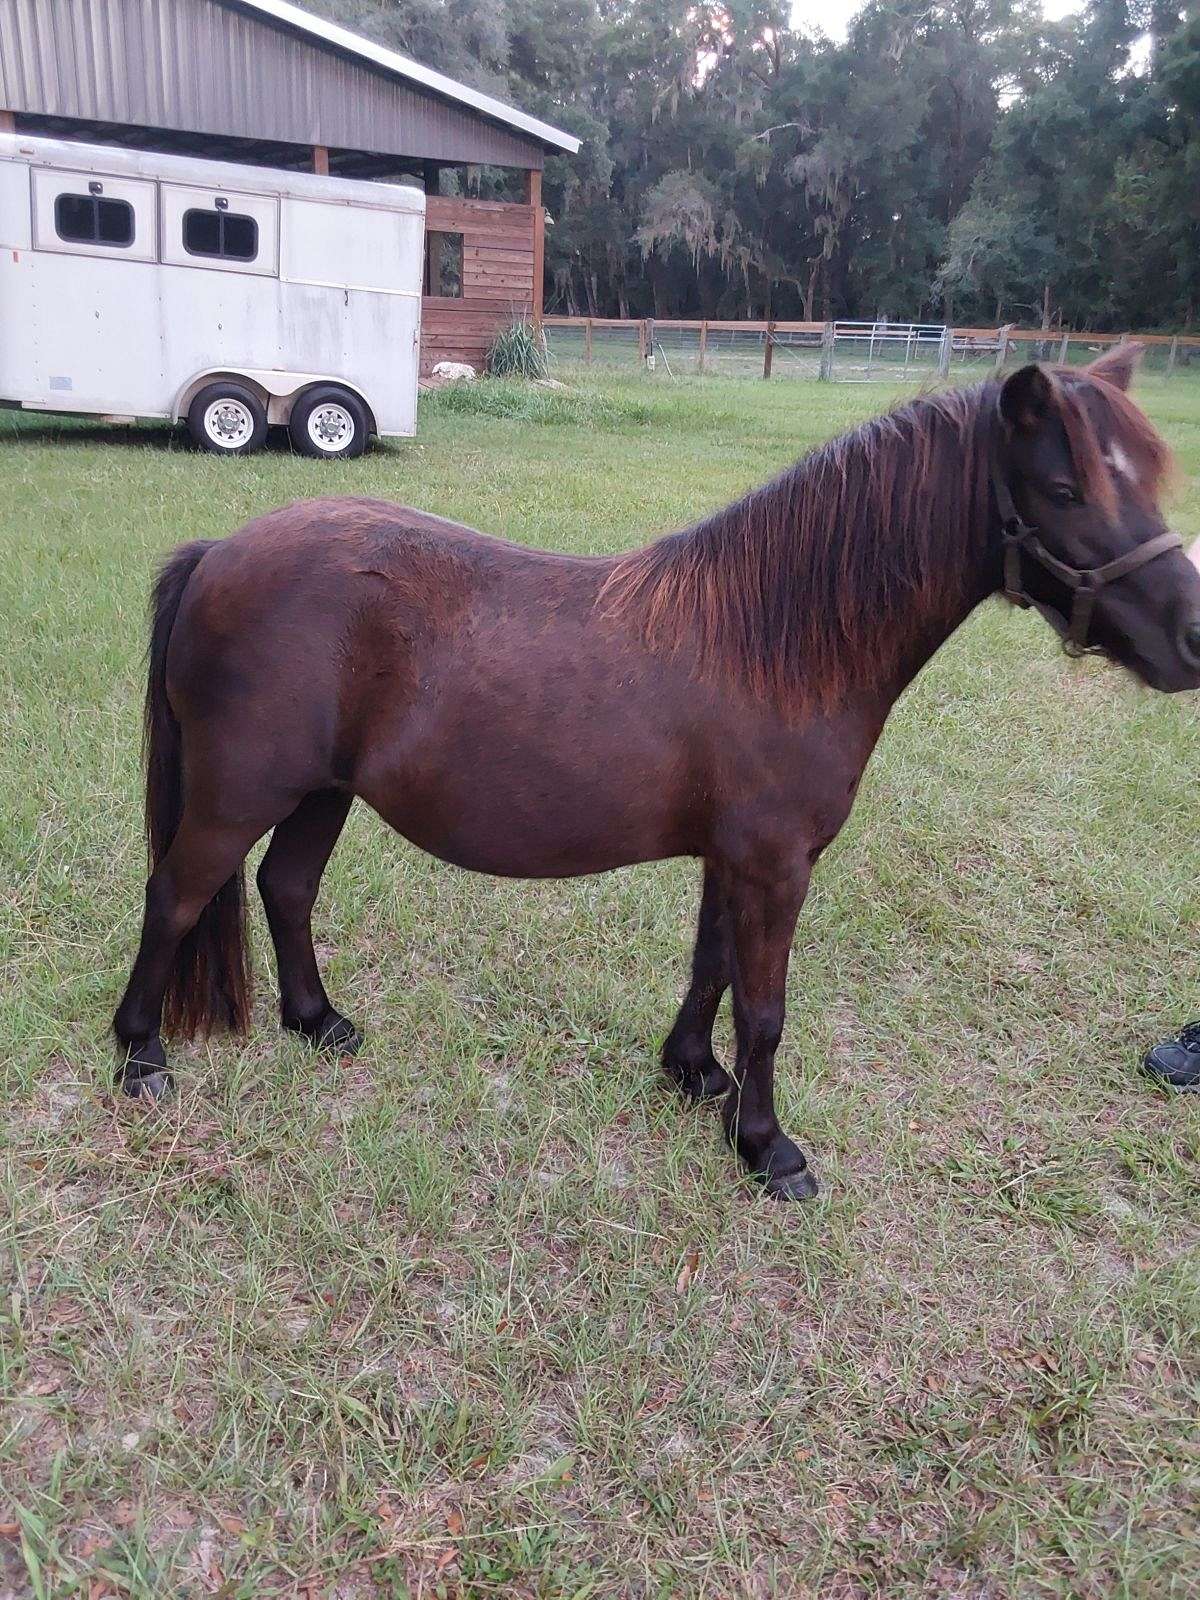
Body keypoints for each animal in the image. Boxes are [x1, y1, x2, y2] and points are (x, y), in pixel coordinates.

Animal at [112, 346, 1200, 1200]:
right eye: (1064, 491)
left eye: (1147, 478)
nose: (1192, 637)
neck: (777, 640)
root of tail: (221, 553)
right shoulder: (775, 864)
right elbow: (765, 1007)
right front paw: (766, 1147)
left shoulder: (734, 856)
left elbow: (711, 966)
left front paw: (694, 1076)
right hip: (240, 794)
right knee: (176, 894)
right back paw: (141, 1056)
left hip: (322, 794)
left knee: (286, 888)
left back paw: (316, 1022)